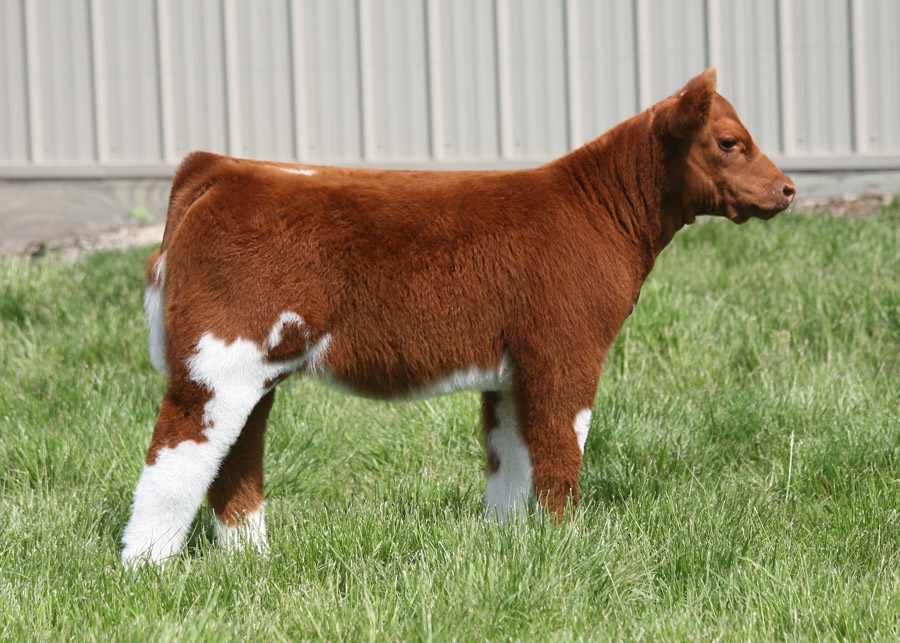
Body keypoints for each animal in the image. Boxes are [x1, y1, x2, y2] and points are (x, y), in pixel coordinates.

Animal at [121, 70, 795, 566]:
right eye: (730, 141)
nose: (788, 188)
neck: (598, 212)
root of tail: (223, 168)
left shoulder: (511, 371)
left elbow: (510, 458)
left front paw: (510, 539)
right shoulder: (565, 352)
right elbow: (559, 453)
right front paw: (568, 547)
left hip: (255, 368)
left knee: (235, 457)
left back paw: (252, 559)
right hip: (220, 357)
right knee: (176, 451)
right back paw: (147, 565)